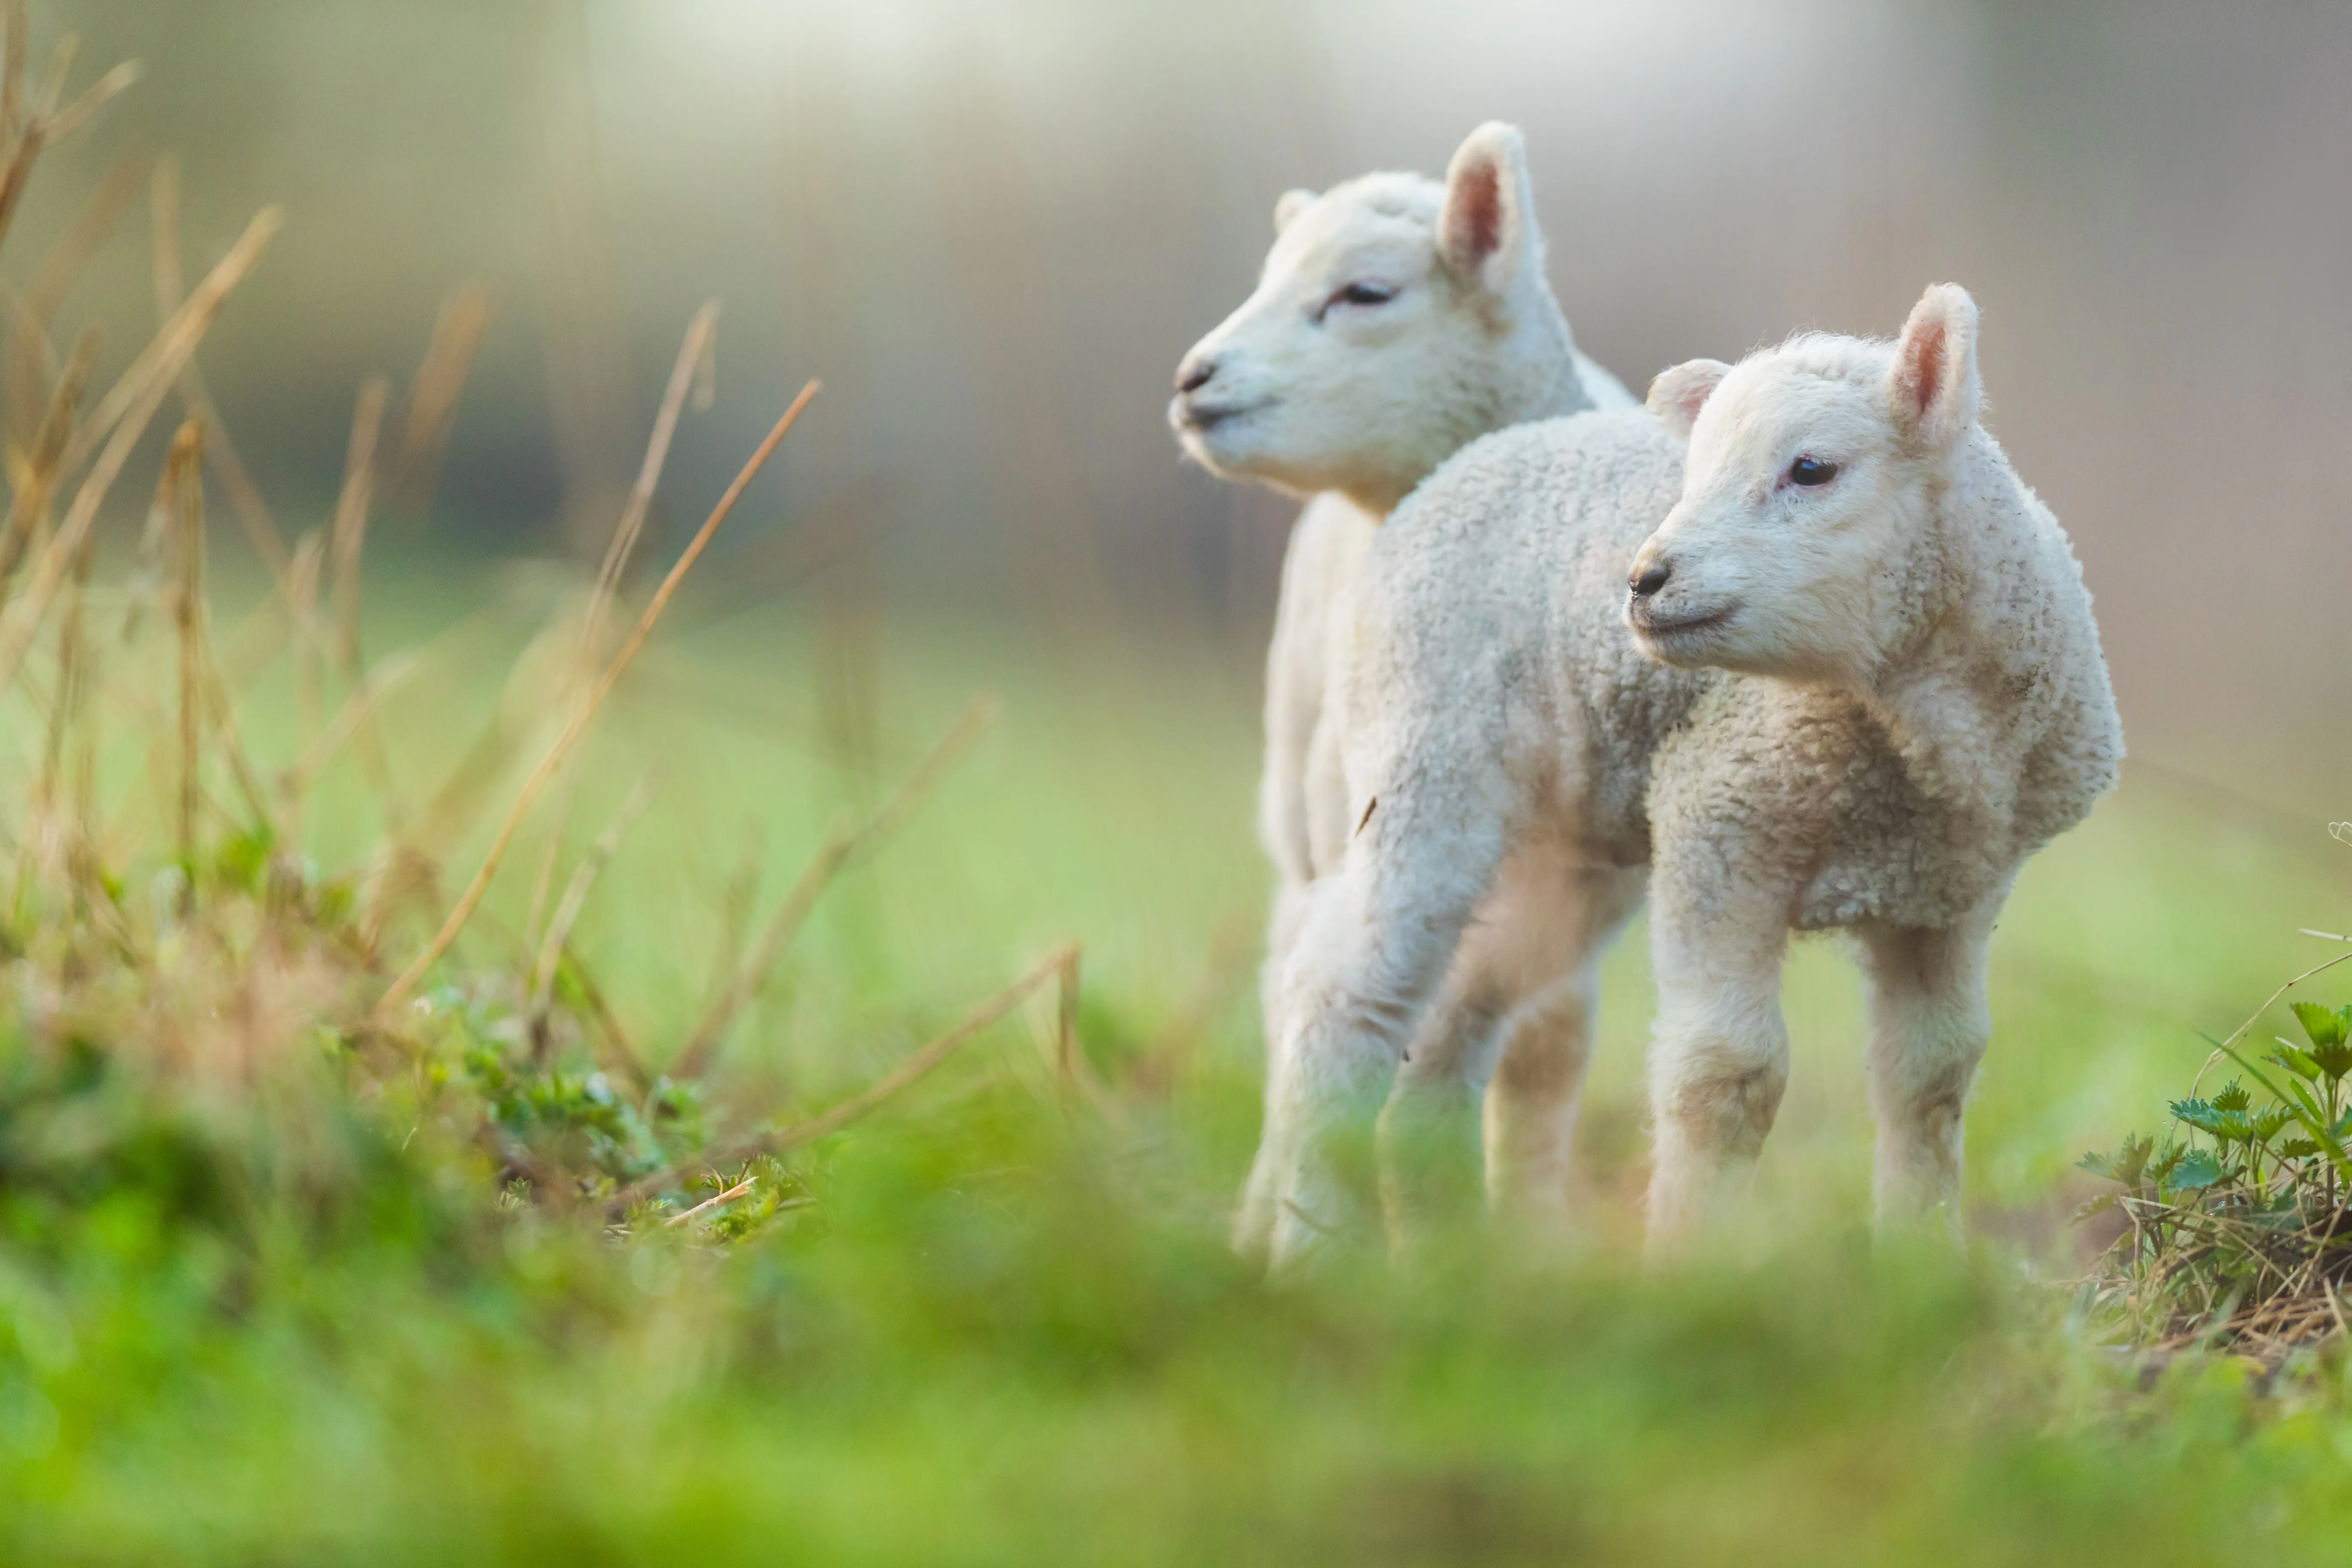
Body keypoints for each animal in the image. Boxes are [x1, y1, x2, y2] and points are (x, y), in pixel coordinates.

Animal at [1168, 123, 1639, 1253]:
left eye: (1365, 293)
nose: (1194, 378)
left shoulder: (1577, 889)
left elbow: (1515, 1050)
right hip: (1309, 793)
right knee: (1297, 985)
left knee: (1525, 1038)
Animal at [1250, 283, 2123, 1269]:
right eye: (1692, 473)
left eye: (1811, 468)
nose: (1644, 579)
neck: (1907, 743)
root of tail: (1455, 466)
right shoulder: (1722, 820)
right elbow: (1728, 1073)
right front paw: (1689, 1267)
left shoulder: (1952, 893)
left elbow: (1933, 1076)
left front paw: (1919, 1264)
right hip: (1420, 754)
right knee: (1341, 994)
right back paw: (1314, 1243)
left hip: (1556, 859)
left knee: (1450, 1028)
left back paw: (1448, 1245)